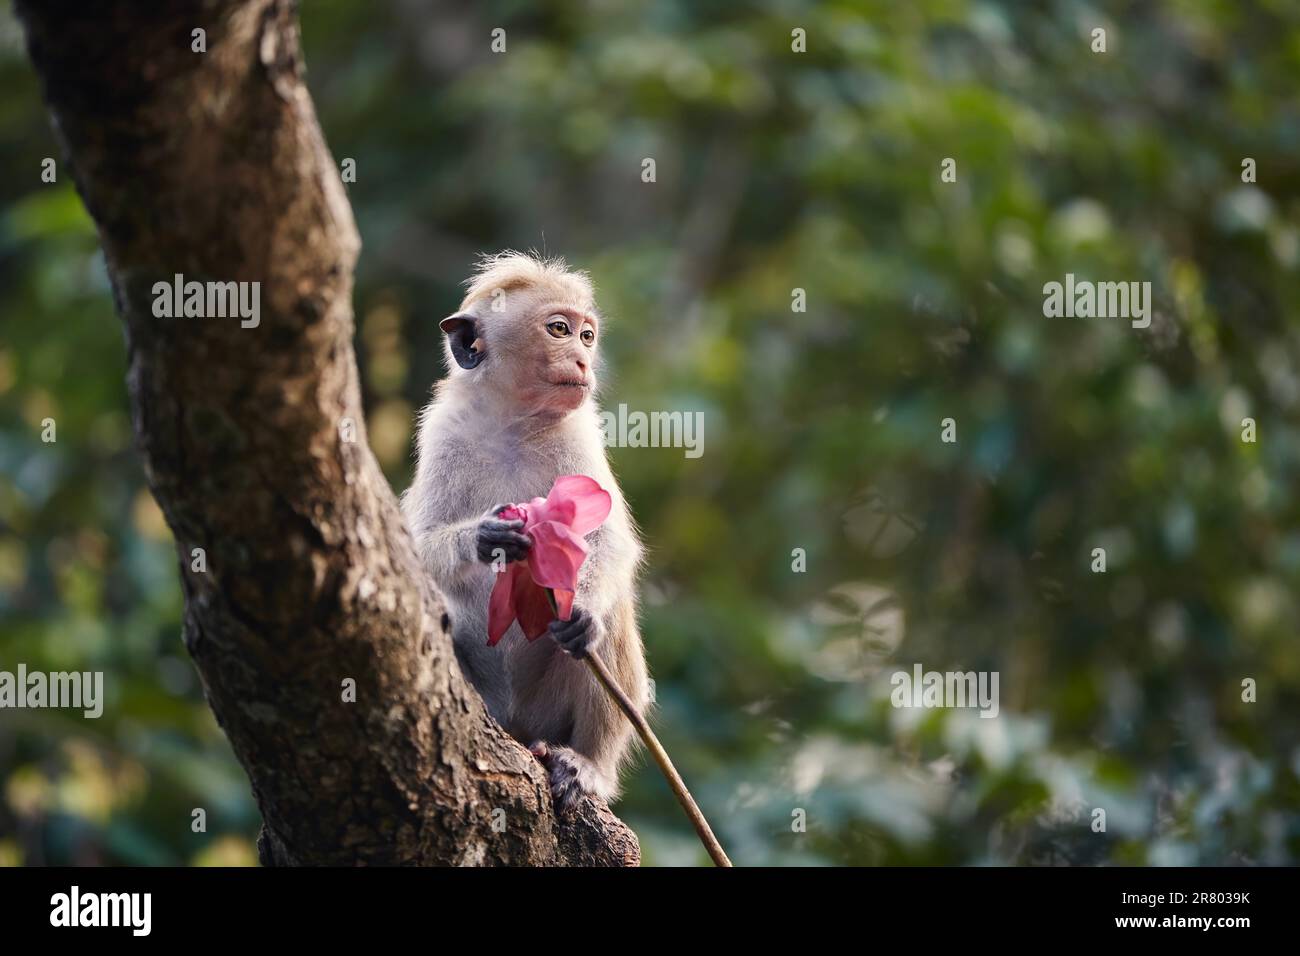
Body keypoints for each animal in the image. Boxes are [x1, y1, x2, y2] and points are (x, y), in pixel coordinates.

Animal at [400, 251, 649, 811]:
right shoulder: (443, 432)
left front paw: (583, 613)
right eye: (559, 330)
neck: (513, 423)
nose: (583, 362)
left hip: (547, 713)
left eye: (587, 336)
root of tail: (515, 725)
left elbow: (610, 544)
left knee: (608, 618)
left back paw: (588, 765)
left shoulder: (579, 432)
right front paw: (487, 537)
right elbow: (417, 545)